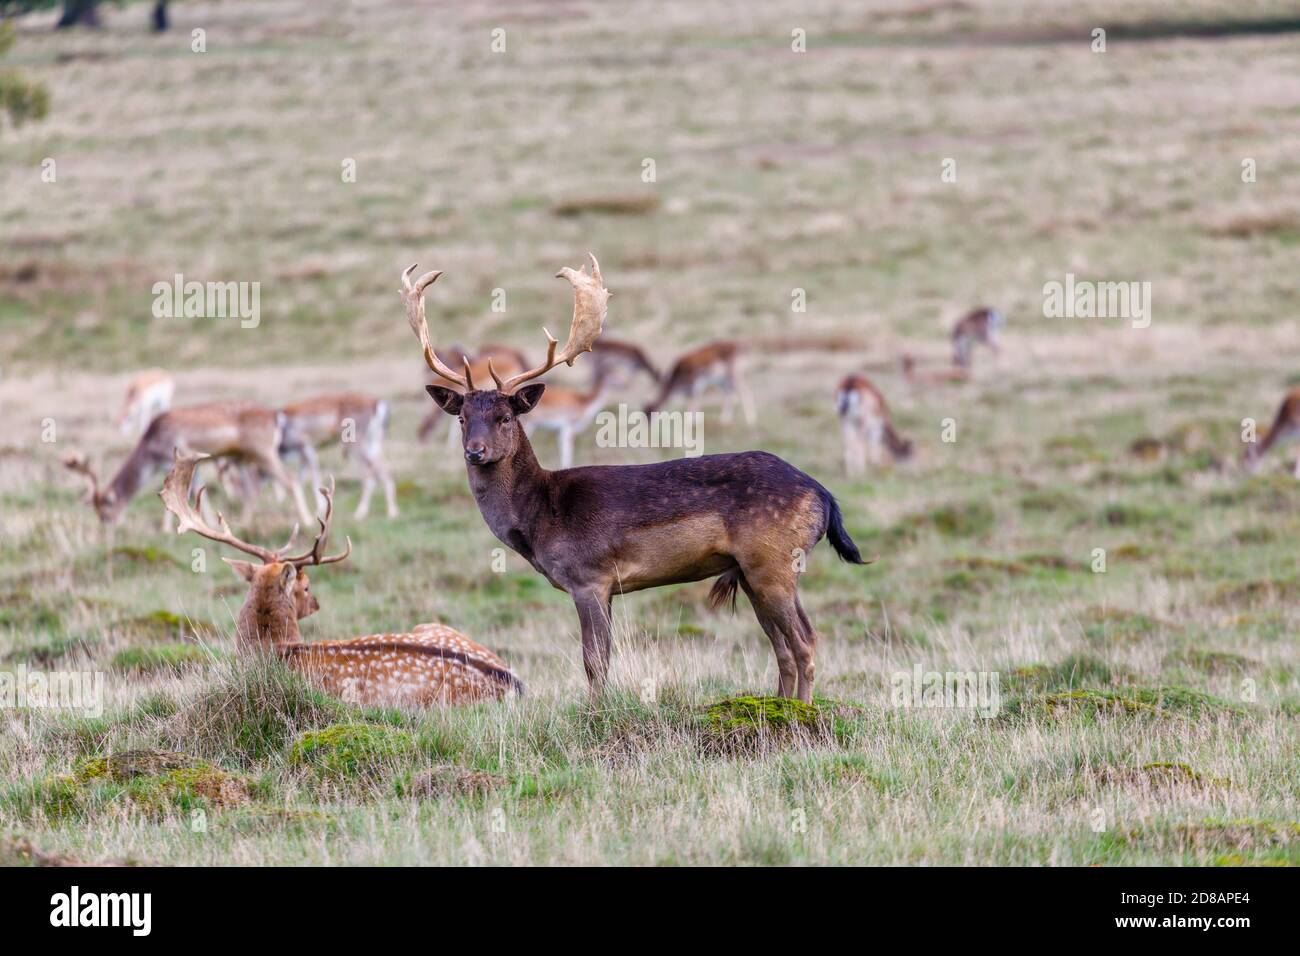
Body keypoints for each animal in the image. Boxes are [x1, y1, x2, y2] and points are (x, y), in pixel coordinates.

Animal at [64, 401, 315, 529]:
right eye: (96, 511)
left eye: (105, 511)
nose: (105, 529)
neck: (150, 452)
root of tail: (277, 416)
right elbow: (198, 492)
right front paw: (210, 523)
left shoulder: (174, 456)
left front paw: (167, 529)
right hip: (243, 456)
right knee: (252, 490)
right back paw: (243, 524)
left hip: (263, 451)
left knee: (290, 481)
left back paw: (308, 521)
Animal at [405, 254, 867, 703]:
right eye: (463, 418)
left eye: (505, 417)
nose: (474, 451)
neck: (540, 518)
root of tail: (825, 496)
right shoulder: (605, 586)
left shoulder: (589, 577)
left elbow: (594, 661)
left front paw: (595, 713)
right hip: (756, 570)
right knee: (782, 645)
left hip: (773, 560)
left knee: (804, 641)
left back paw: (800, 713)